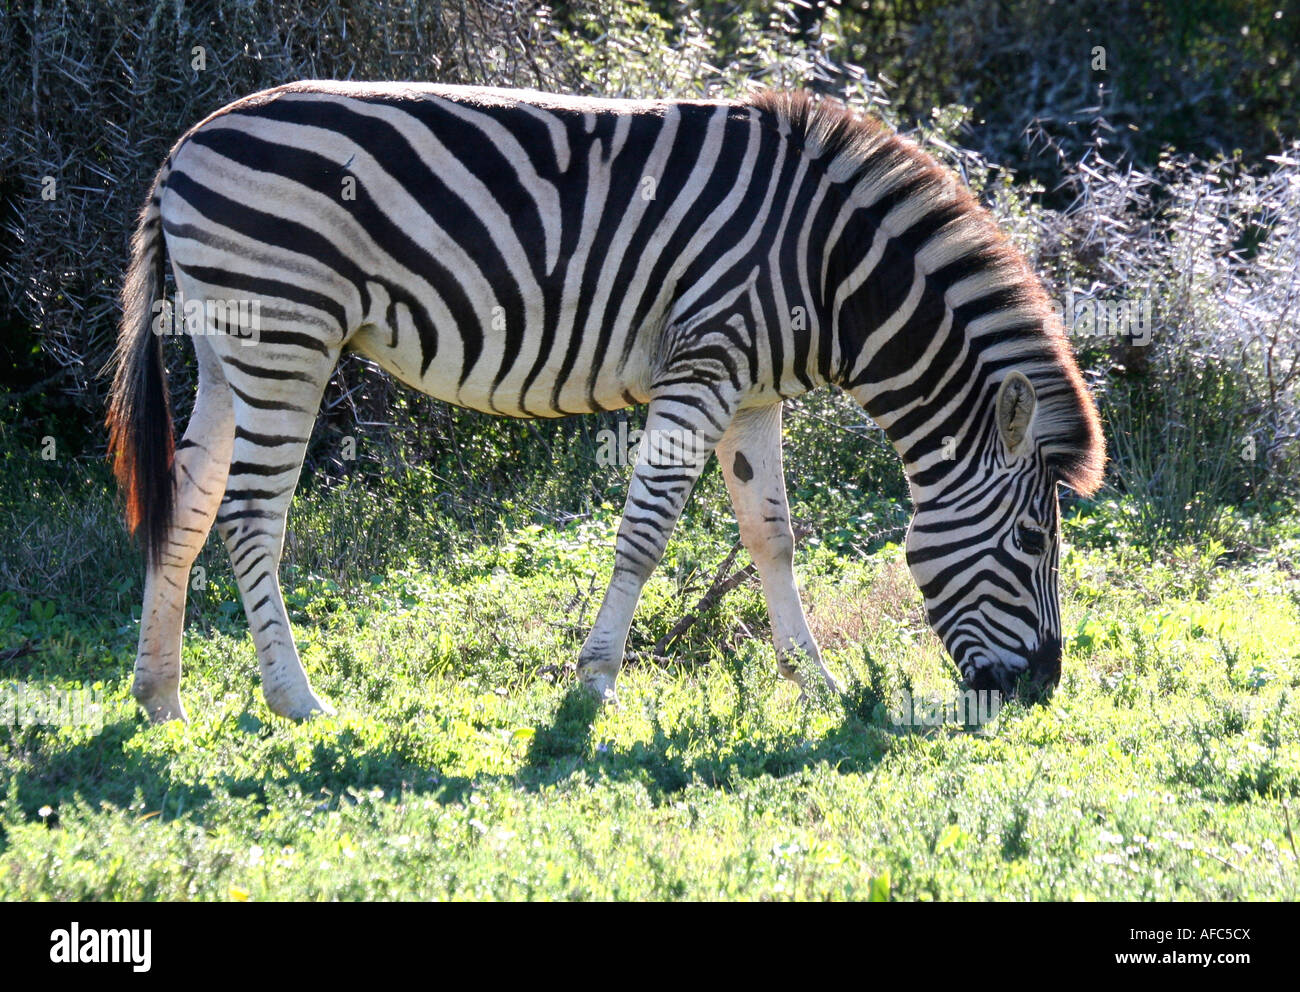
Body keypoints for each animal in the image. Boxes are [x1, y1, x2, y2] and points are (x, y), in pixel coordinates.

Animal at [107, 82, 1104, 723]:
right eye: (1032, 541)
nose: (1045, 687)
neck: (829, 271)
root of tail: (185, 145)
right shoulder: (704, 362)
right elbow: (648, 530)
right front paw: (593, 685)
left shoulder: (752, 394)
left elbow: (772, 537)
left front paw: (813, 685)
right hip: (286, 334)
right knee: (251, 515)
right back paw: (296, 700)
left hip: (226, 346)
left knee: (187, 501)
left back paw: (160, 697)